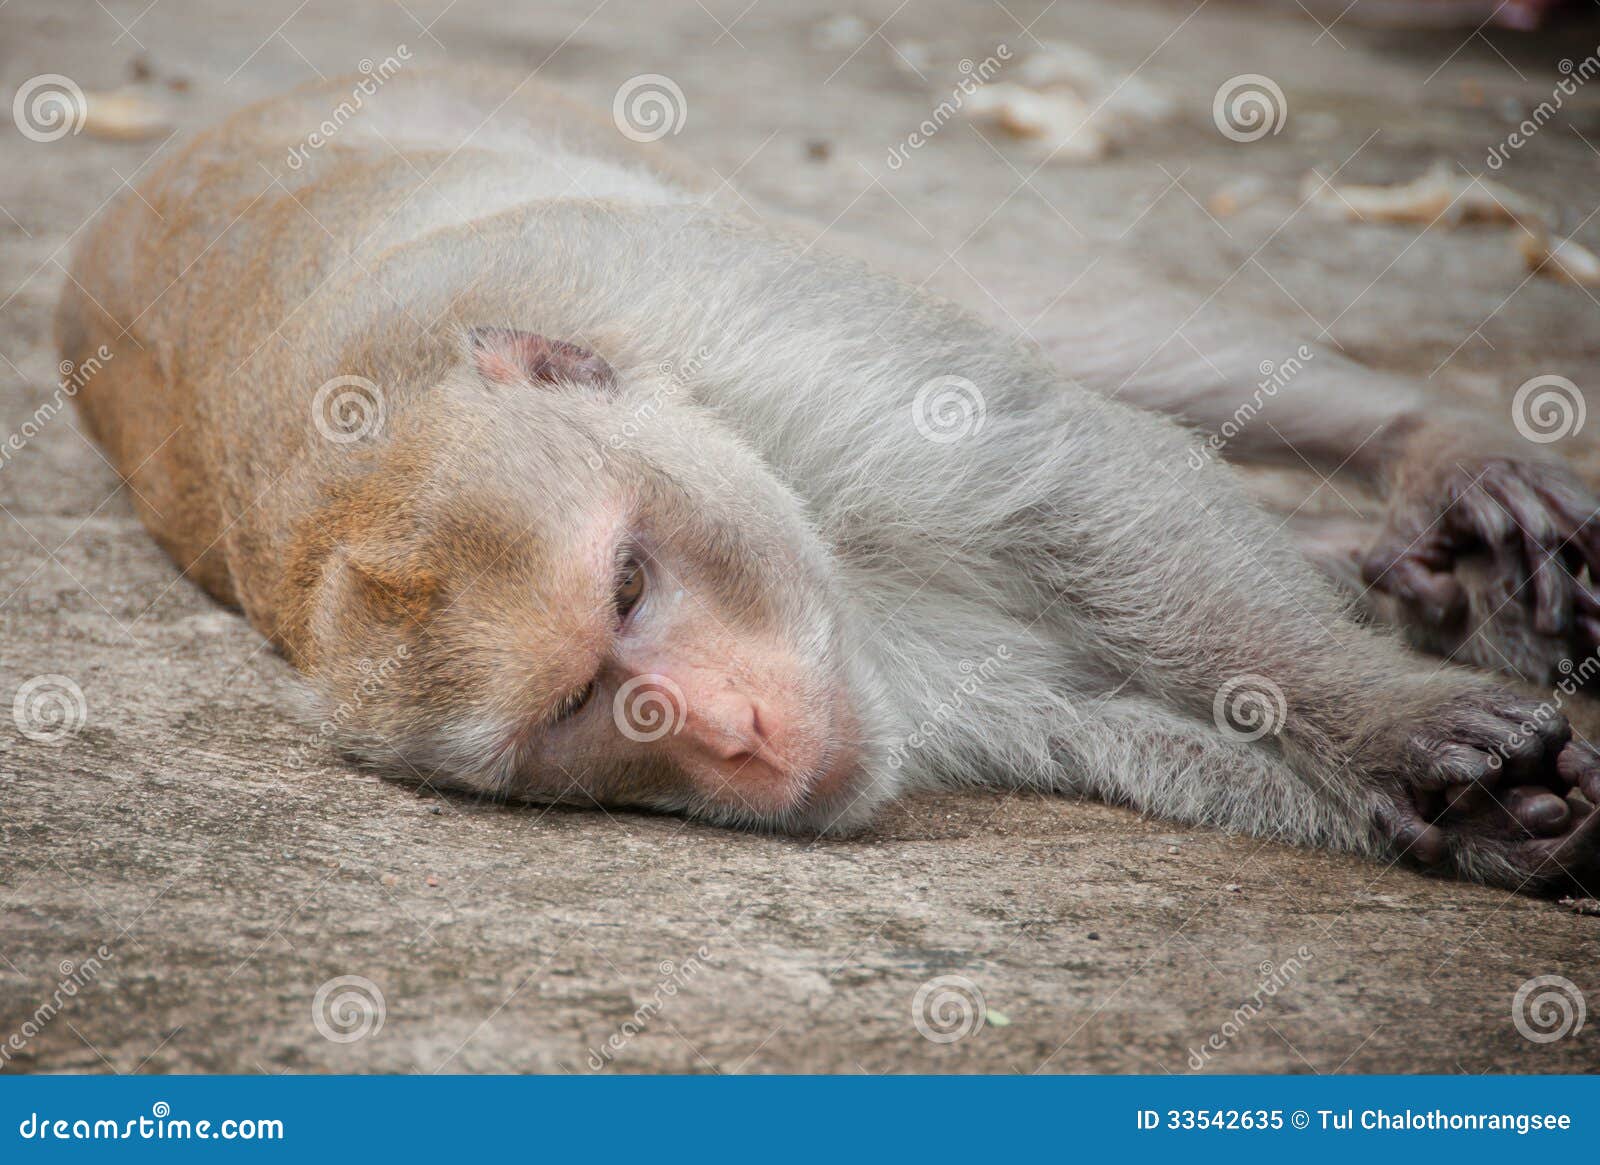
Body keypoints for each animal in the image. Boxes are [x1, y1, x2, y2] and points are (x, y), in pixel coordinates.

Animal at [54, 69, 1600, 894]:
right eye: (577, 709)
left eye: (628, 581)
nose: (733, 730)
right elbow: (1098, 718)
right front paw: (1478, 825)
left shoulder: (728, 318)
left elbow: (1072, 476)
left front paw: (1394, 720)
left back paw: (1443, 458)